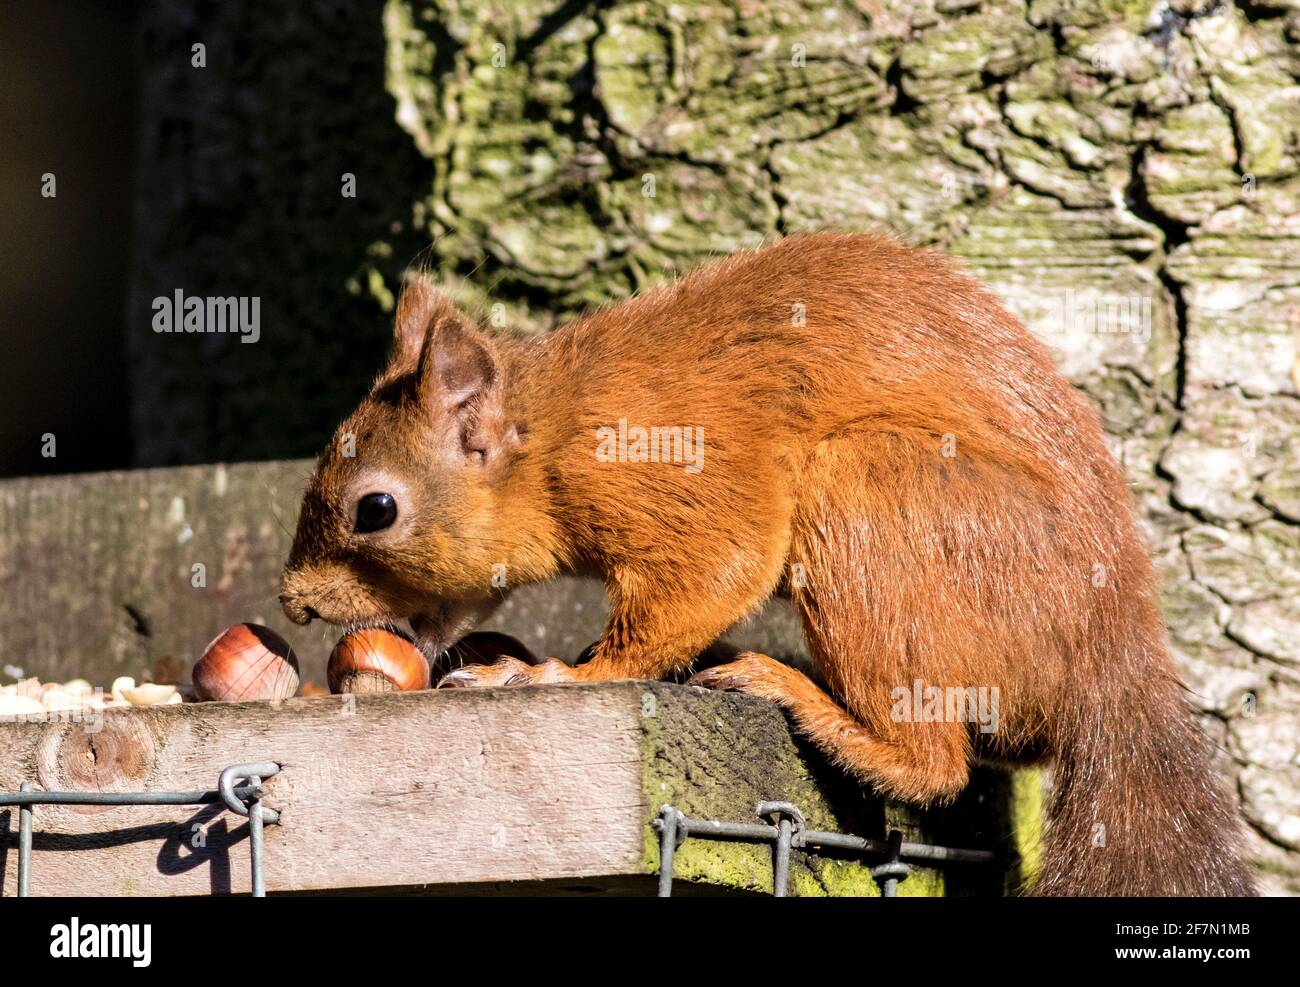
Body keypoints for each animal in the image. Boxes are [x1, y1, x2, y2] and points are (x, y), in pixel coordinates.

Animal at [280, 232, 1255, 896]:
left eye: (375, 509)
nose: (293, 601)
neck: (550, 432)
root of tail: (1110, 651)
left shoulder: (678, 480)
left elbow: (710, 576)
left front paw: (557, 673)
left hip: (874, 499)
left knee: (934, 762)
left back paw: (800, 697)